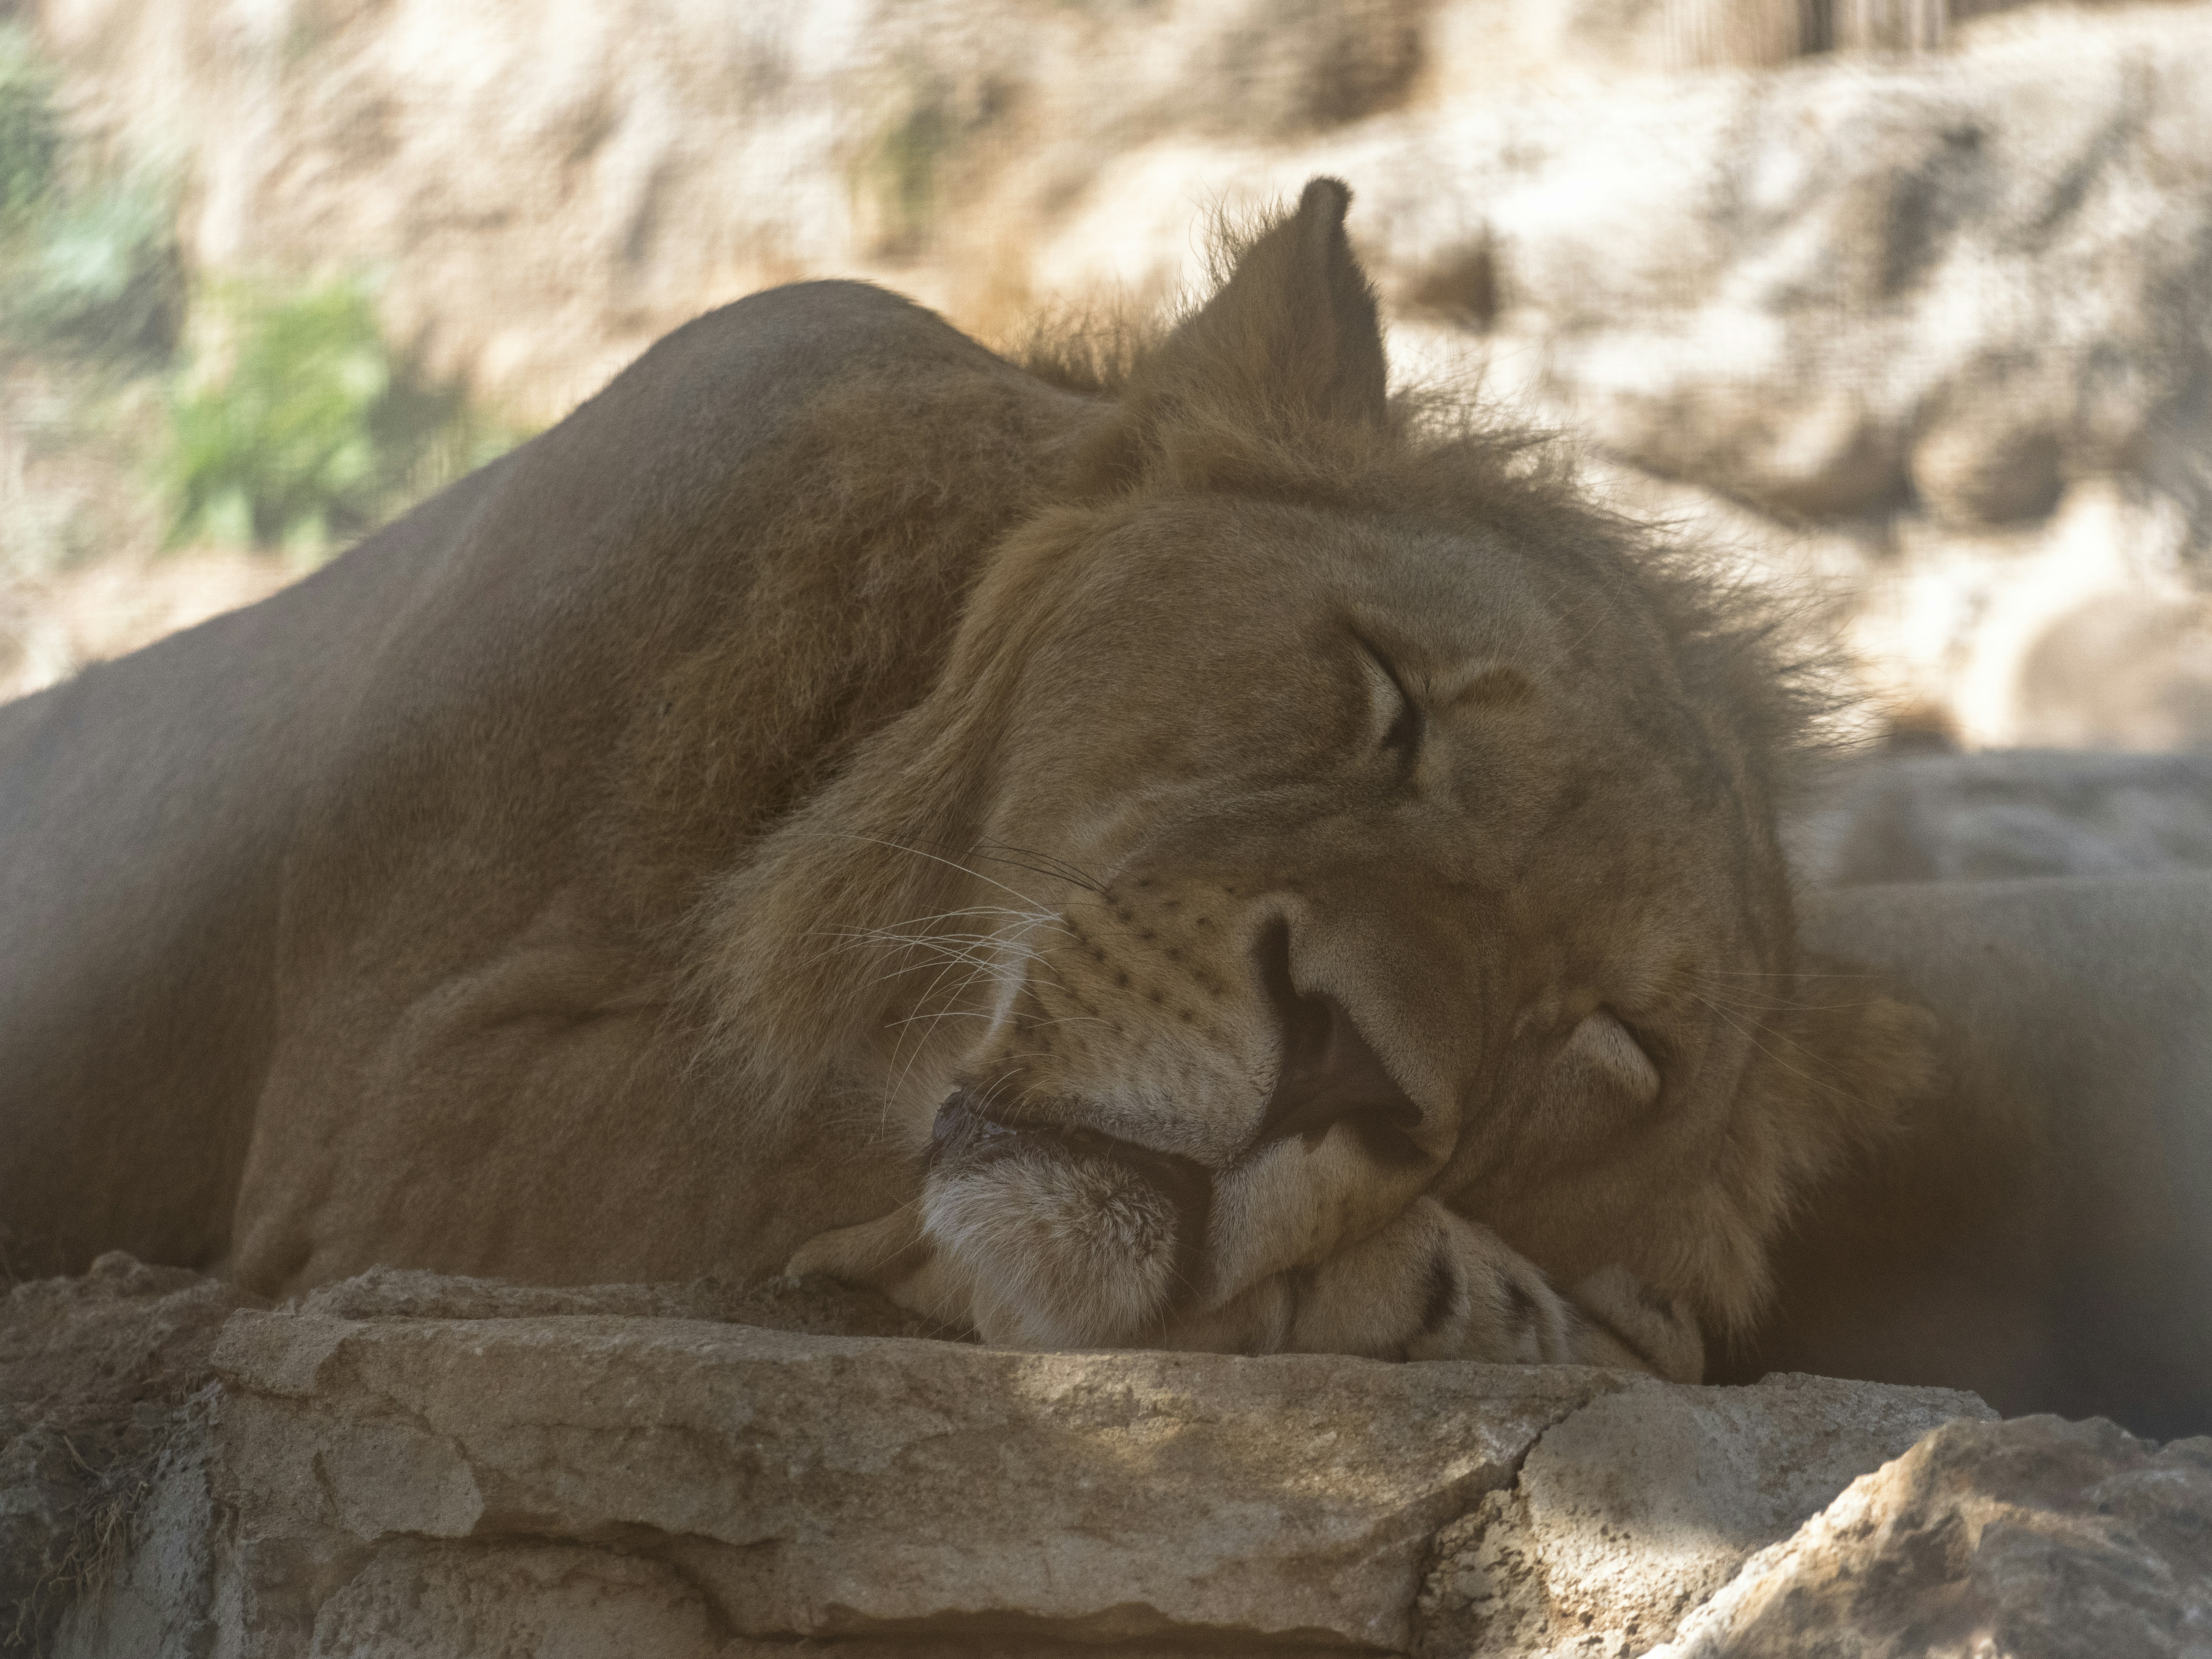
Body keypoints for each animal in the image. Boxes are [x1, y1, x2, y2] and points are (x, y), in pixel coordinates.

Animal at [0, 179, 1930, 1384]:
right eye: (1389, 700)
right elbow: (779, 1111)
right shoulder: (374, 1136)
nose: (1345, 1067)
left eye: (1612, 1042)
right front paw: (1461, 1288)